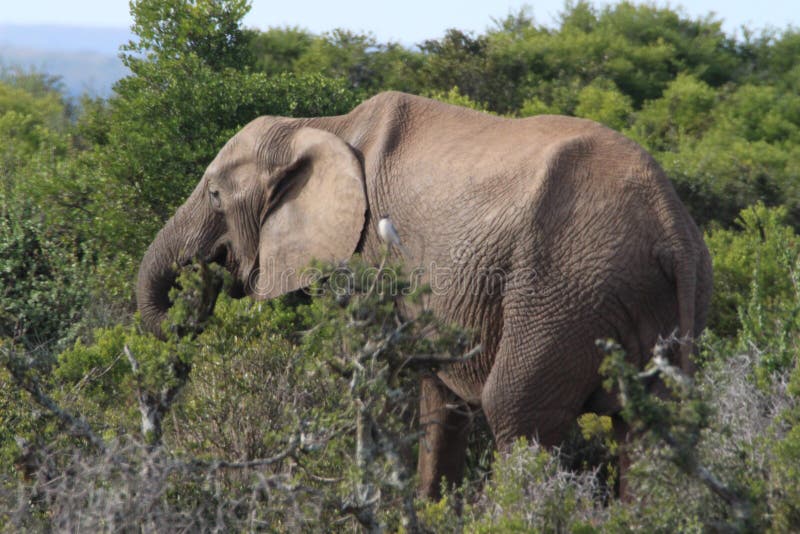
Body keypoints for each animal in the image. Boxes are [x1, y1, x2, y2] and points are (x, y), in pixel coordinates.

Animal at [137, 91, 712, 498]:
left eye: (215, 194)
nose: (203, 280)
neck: (320, 127)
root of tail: (670, 225)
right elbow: (439, 397)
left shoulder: (367, 254)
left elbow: (369, 370)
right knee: (644, 431)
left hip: (563, 287)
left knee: (517, 413)